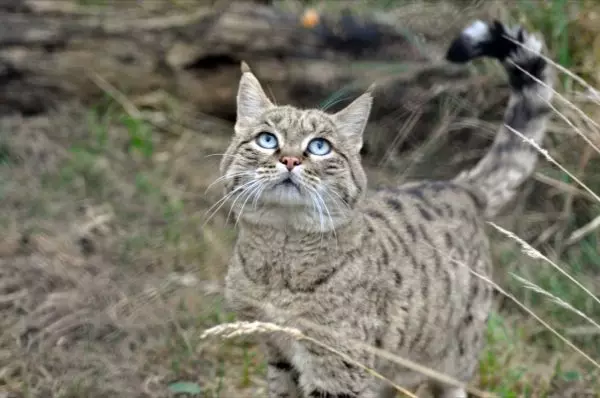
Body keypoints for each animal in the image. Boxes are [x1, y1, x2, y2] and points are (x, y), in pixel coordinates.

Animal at [218, 19, 556, 398]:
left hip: (454, 357)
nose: (290, 159)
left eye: (320, 146)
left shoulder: (338, 365)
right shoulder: (278, 351)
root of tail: (460, 186)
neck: (281, 260)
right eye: (267, 139)